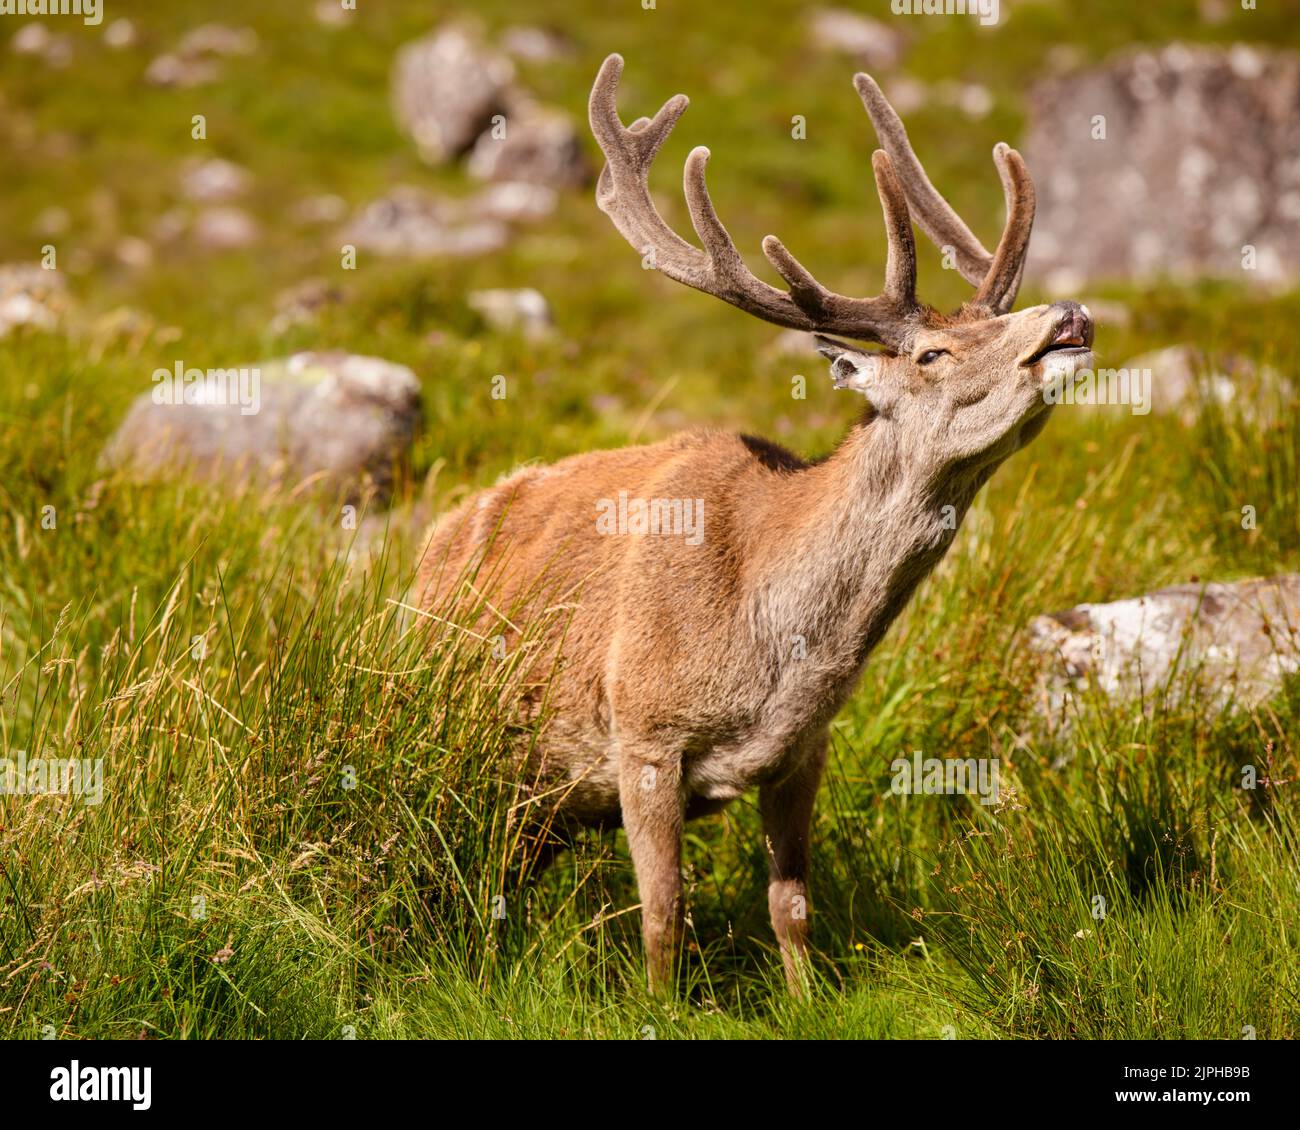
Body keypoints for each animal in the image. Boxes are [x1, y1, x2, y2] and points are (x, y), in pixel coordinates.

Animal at [416, 53, 1094, 995]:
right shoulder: (644, 732)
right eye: (933, 354)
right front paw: (660, 1007)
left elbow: (792, 906)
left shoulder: (805, 748)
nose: (1069, 316)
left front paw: (809, 1000)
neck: (772, 647)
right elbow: (664, 916)